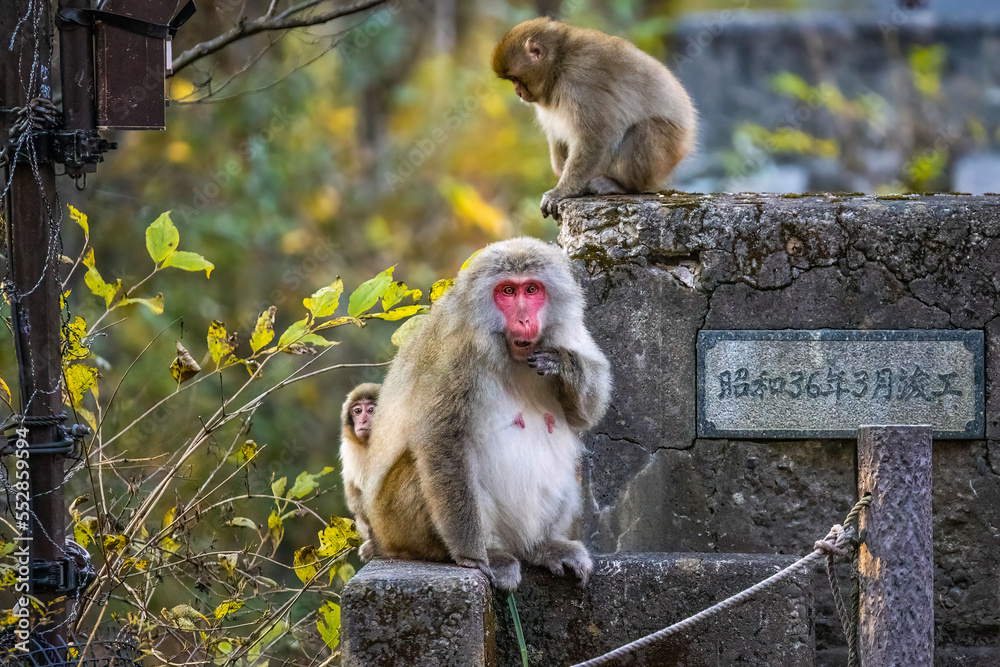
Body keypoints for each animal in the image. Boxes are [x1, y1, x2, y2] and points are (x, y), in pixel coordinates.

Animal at [362, 237, 611, 591]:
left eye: (531, 289)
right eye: (507, 291)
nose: (524, 321)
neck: (506, 349)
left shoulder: (566, 333)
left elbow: (584, 416)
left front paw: (564, 364)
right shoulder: (455, 353)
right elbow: (441, 440)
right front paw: (472, 557)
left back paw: (542, 547)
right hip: (393, 522)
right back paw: (479, 553)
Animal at [492, 18, 697, 219]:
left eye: (515, 79)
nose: (518, 92)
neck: (559, 63)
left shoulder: (579, 82)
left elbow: (595, 136)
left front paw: (562, 191)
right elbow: (558, 135)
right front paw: (562, 174)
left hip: (671, 149)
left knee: (644, 130)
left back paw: (621, 186)